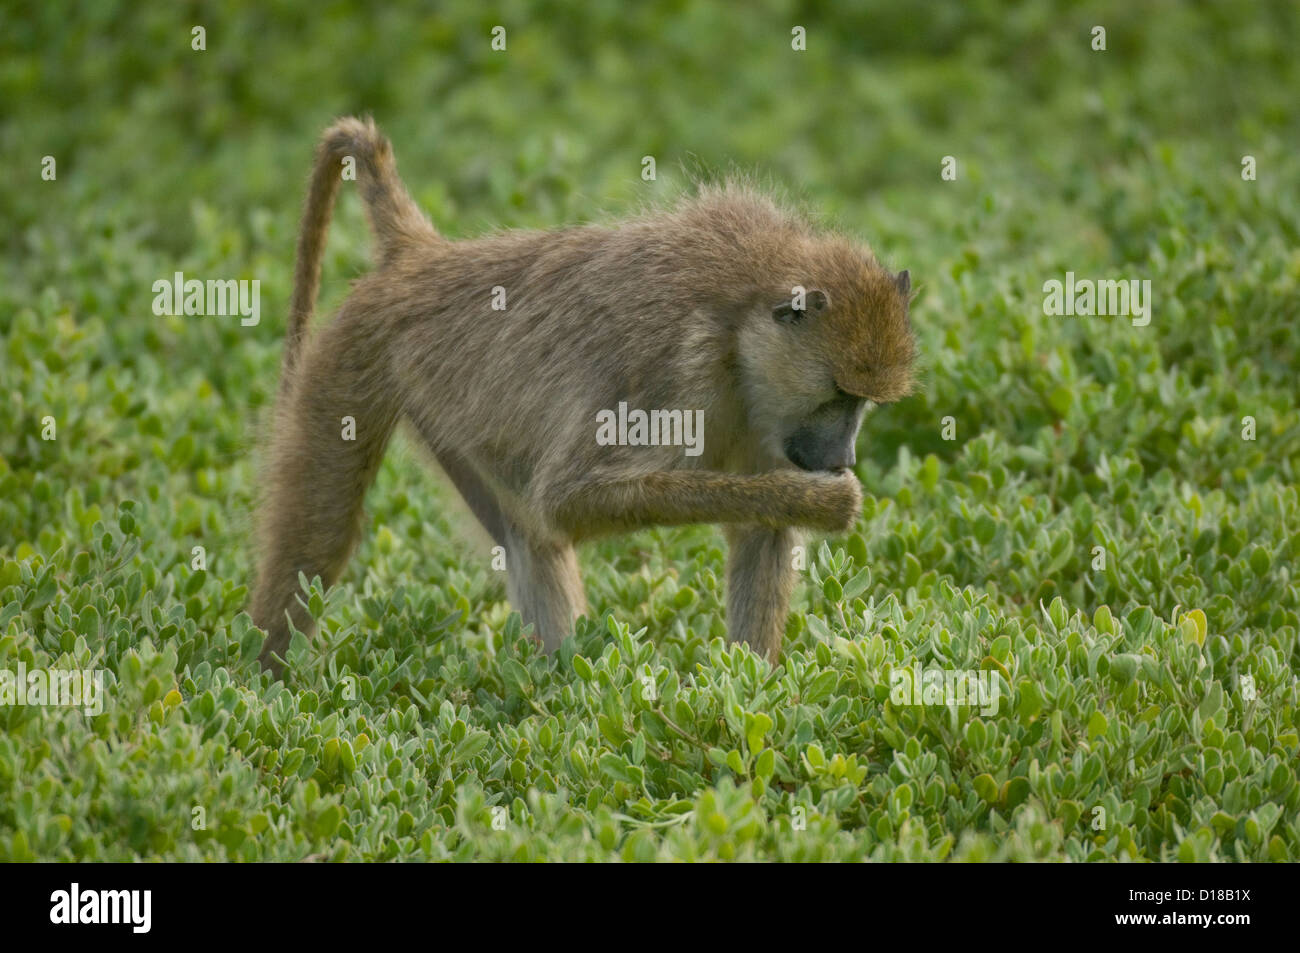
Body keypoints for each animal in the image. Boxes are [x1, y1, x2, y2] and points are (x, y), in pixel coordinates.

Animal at [250, 116, 917, 675]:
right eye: (837, 395)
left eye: (862, 402)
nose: (843, 460)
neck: (739, 332)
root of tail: (416, 259)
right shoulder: (666, 368)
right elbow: (569, 499)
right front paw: (827, 502)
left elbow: (759, 532)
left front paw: (753, 690)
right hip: (353, 358)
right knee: (320, 543)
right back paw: (266, 681)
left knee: (527, 540)